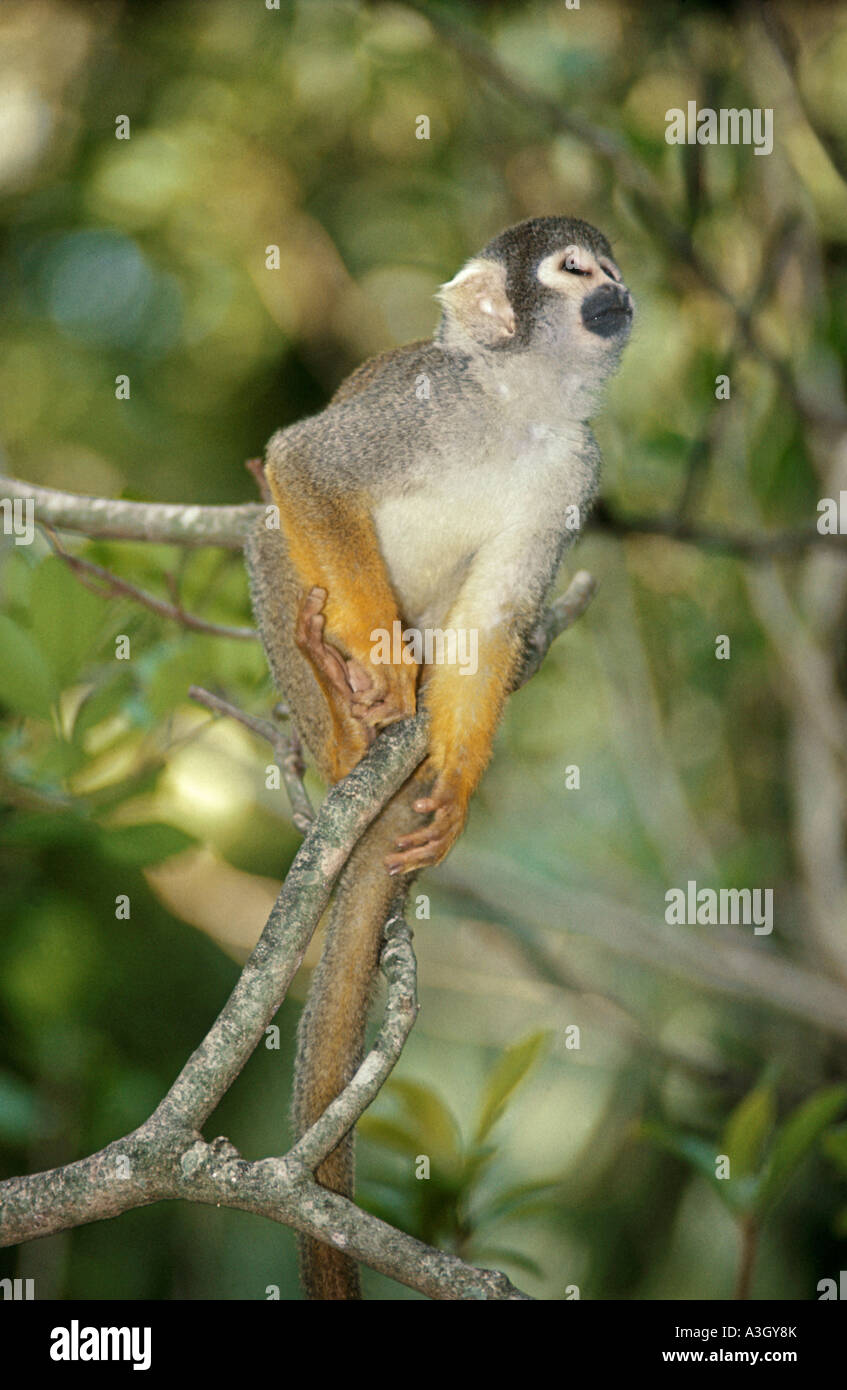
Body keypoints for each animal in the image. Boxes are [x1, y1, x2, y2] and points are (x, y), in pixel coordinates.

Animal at [245, 215, 634, 1299]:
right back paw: (344, 712)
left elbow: (494, 618)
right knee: (271, 526)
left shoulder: (574, 469)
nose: (619, 293)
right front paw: (378, 670)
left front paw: (455, 786)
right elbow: (304, 464)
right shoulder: (420, 405)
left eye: (610, 265)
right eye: (574, 270)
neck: (515, 407)